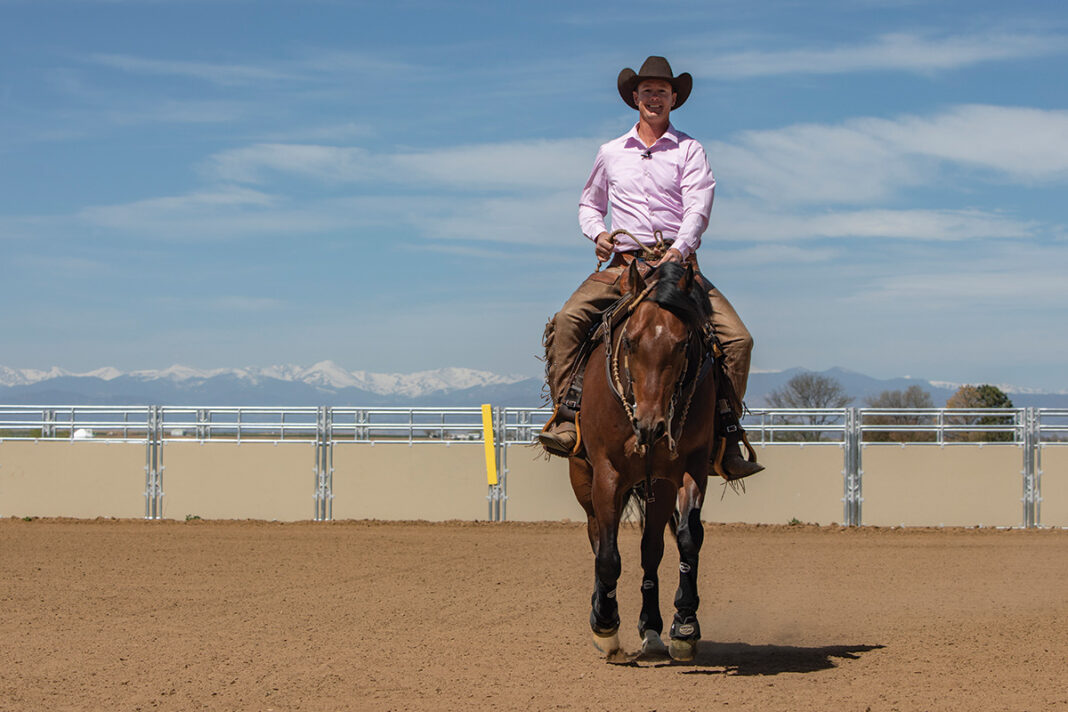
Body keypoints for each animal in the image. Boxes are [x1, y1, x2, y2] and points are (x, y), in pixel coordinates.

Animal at [568, 258, 718, 662]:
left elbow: (688, 539)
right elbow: (607, 554)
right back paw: (601, 613)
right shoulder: (606, 473)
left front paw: (685, 625)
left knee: (651, 550)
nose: (651, 425)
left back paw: (651, 628)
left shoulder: (690, 468)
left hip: (659, 486)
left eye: (682, 344)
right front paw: (605, 626)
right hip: (583, 478)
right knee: (596, 538)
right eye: (631, 341)